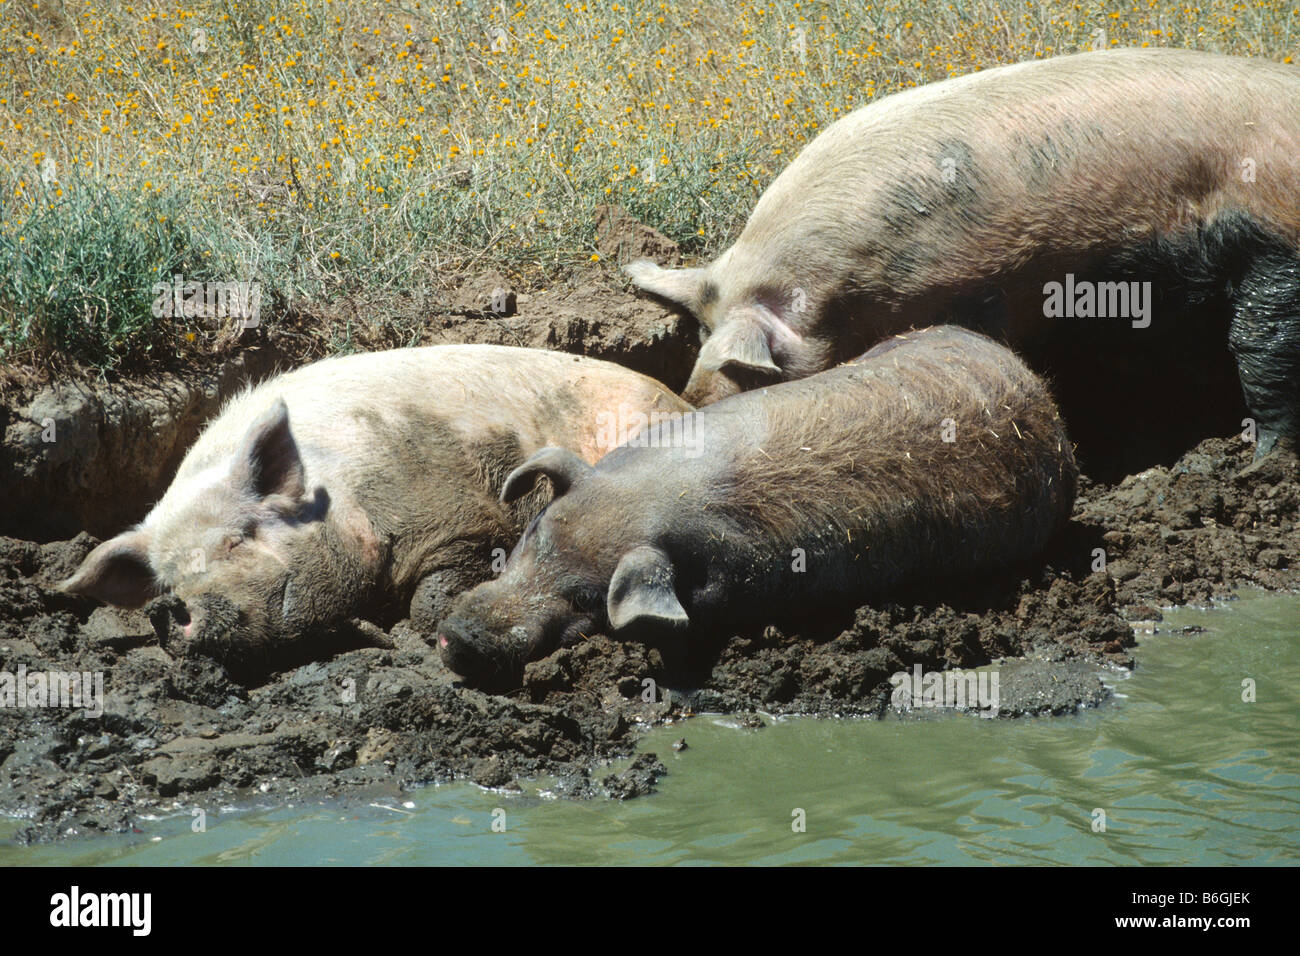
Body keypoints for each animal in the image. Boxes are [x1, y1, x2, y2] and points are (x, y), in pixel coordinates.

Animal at [61, 345, 690, 674]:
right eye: (168, 577)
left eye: (237, 538)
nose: (169, 607)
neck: (345, 496)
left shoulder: (465, 513)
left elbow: (435, 596)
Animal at [626, 48, 1300, 472]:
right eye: (698, 342)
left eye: (749, 370)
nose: (691, 402)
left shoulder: (978, 282)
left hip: (1274, 235)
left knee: (1264, 345)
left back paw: (1261, 466)